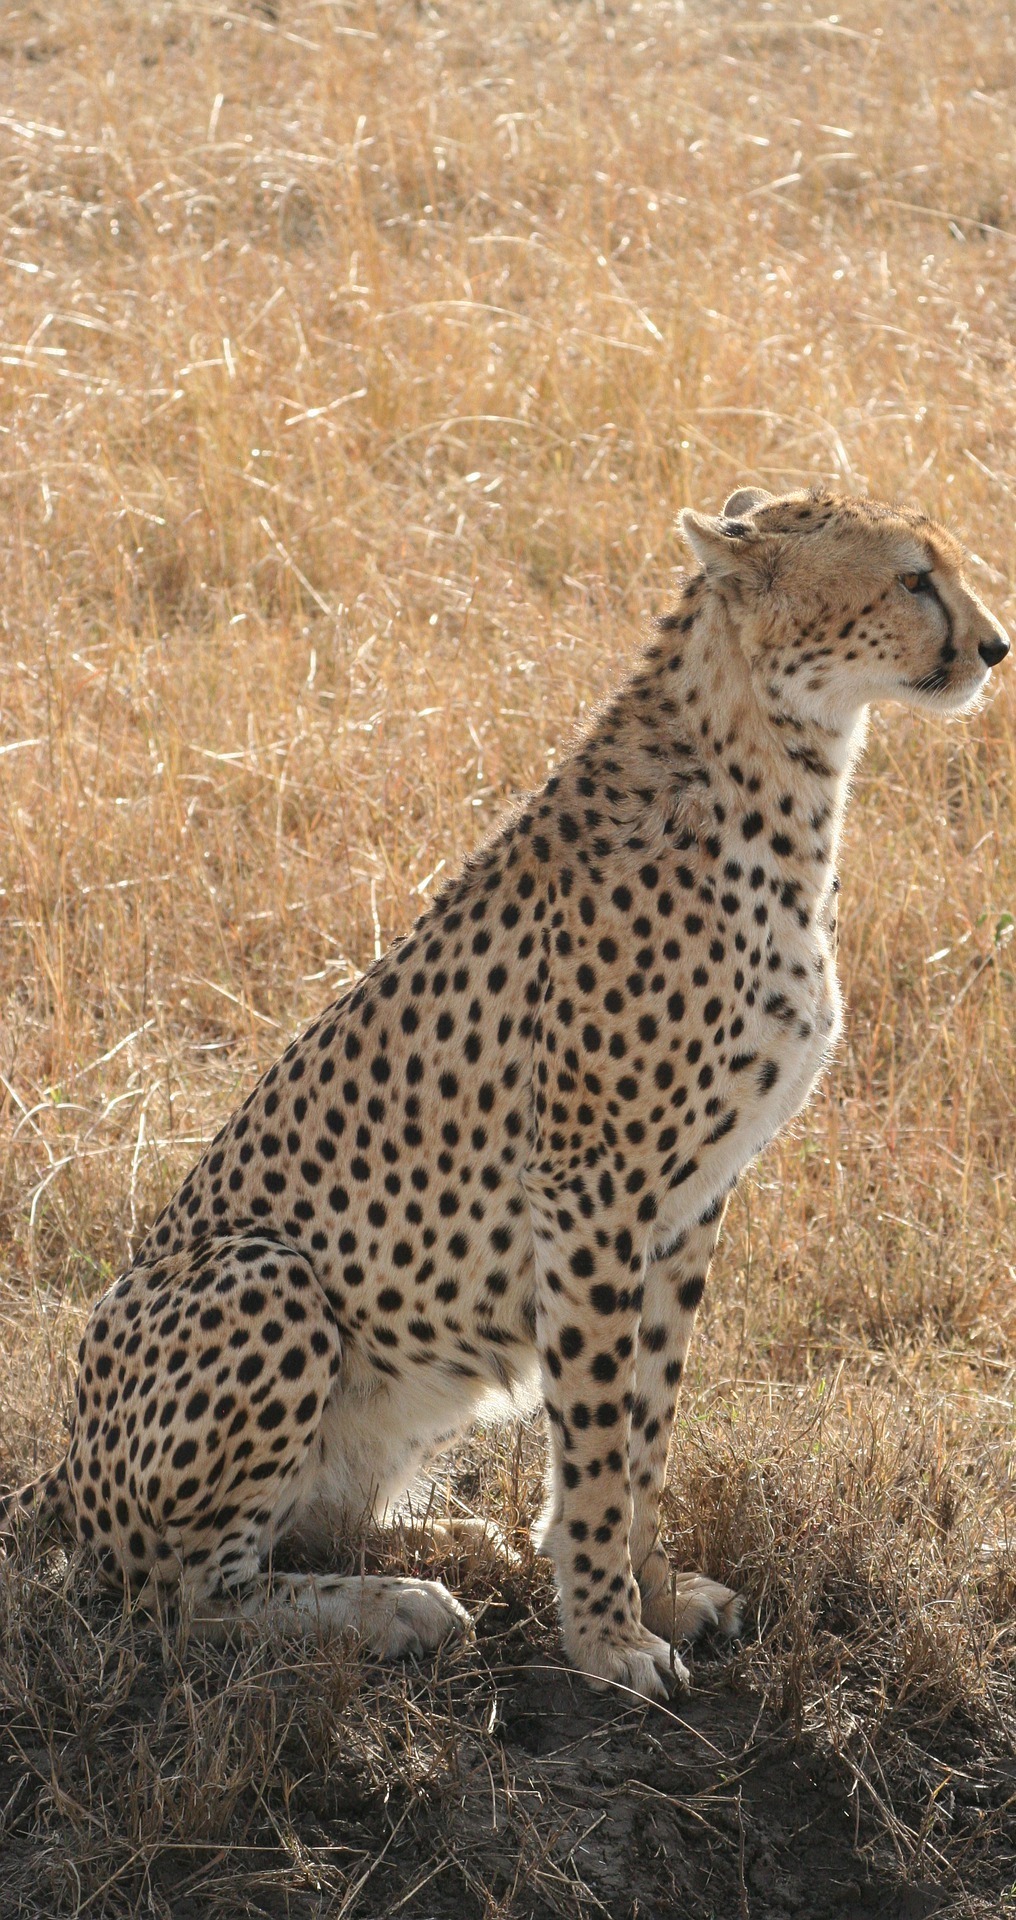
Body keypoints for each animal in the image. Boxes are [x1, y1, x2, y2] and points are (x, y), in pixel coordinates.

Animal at [3, 487, 1008, 1702]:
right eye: (911, 577)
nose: (994, 647)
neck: (773, 770)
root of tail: (66, 1460)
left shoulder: (689, 1206)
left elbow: (647, 1422)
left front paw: (651, 1592)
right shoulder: (590, 1192)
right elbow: (596, 1436)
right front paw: (607, 1638)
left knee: (308, 1521)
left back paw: (447, 1540)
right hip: (264, 1276)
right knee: (174, 1594)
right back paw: (392, 1608)